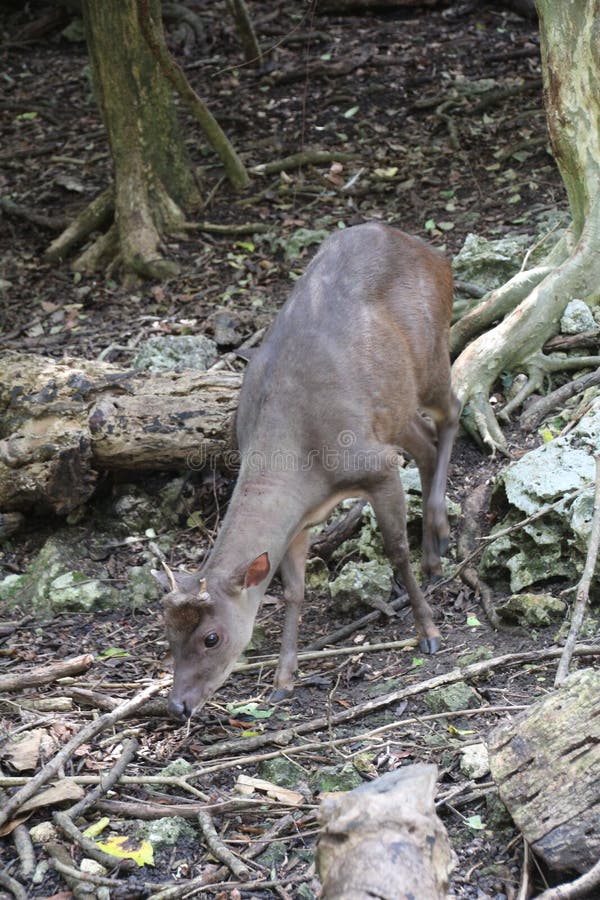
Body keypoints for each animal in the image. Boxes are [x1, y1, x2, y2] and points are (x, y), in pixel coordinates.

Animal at [154, 222, 460, 719]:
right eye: (167, 634)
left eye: (211, 637)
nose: (178, 705)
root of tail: (434, 253)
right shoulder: (300, 522)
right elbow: (294, 591)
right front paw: (282, 682)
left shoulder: (373, 465)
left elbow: (396, 548)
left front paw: (429, 633)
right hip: (394, 405)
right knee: (426, 443)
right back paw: (433, 556)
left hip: (431, 352)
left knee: (453, 409)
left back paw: (440, 535)